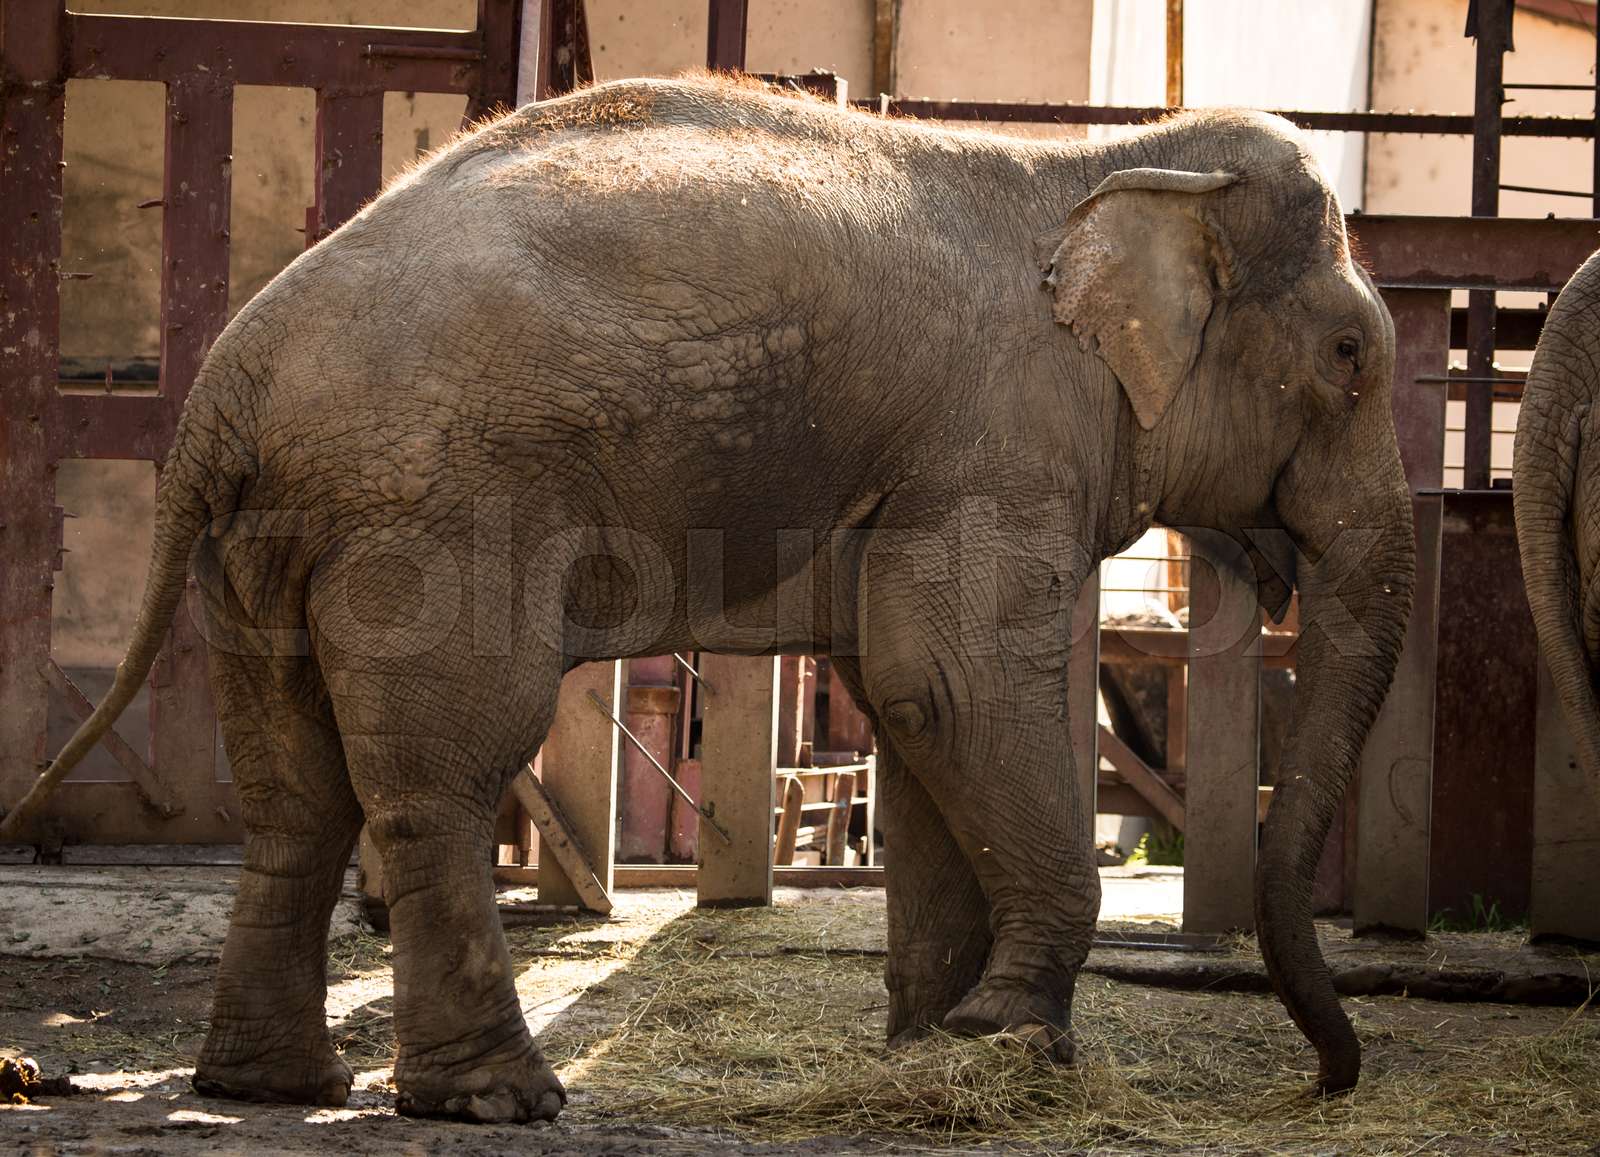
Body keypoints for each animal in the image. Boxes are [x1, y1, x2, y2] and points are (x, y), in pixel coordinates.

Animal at [1, 76, 1413, 1121]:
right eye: (1350, 358)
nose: (1326, 1082)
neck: (1103, 166)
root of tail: (224, 385)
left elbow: (916, 704)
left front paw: (933, 1047)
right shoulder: (1000, 436)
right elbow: (949, 680)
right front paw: (1010, 1044)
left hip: (263, 545)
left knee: (295, 790)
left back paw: (272, 1085)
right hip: (426, 513)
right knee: (443, 772)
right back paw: (498, 1098)